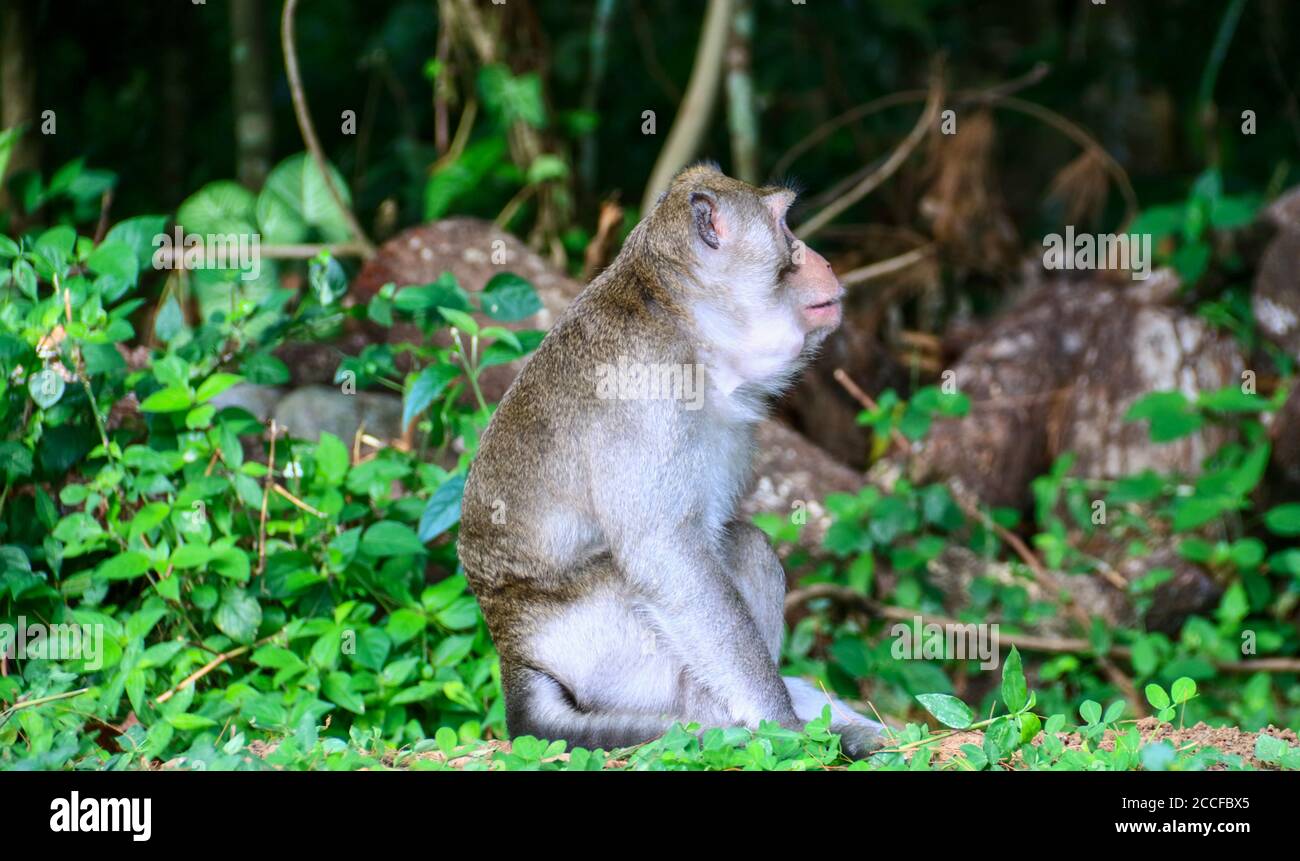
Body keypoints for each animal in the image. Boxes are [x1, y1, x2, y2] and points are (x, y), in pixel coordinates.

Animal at [457, 163, 885, 758]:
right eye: (784, 227)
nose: (820, 258)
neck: (685, 323)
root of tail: (516, 655)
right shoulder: (645, 395)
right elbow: (664, 552)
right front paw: (784, 726)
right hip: (610, 648)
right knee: (734, 555)